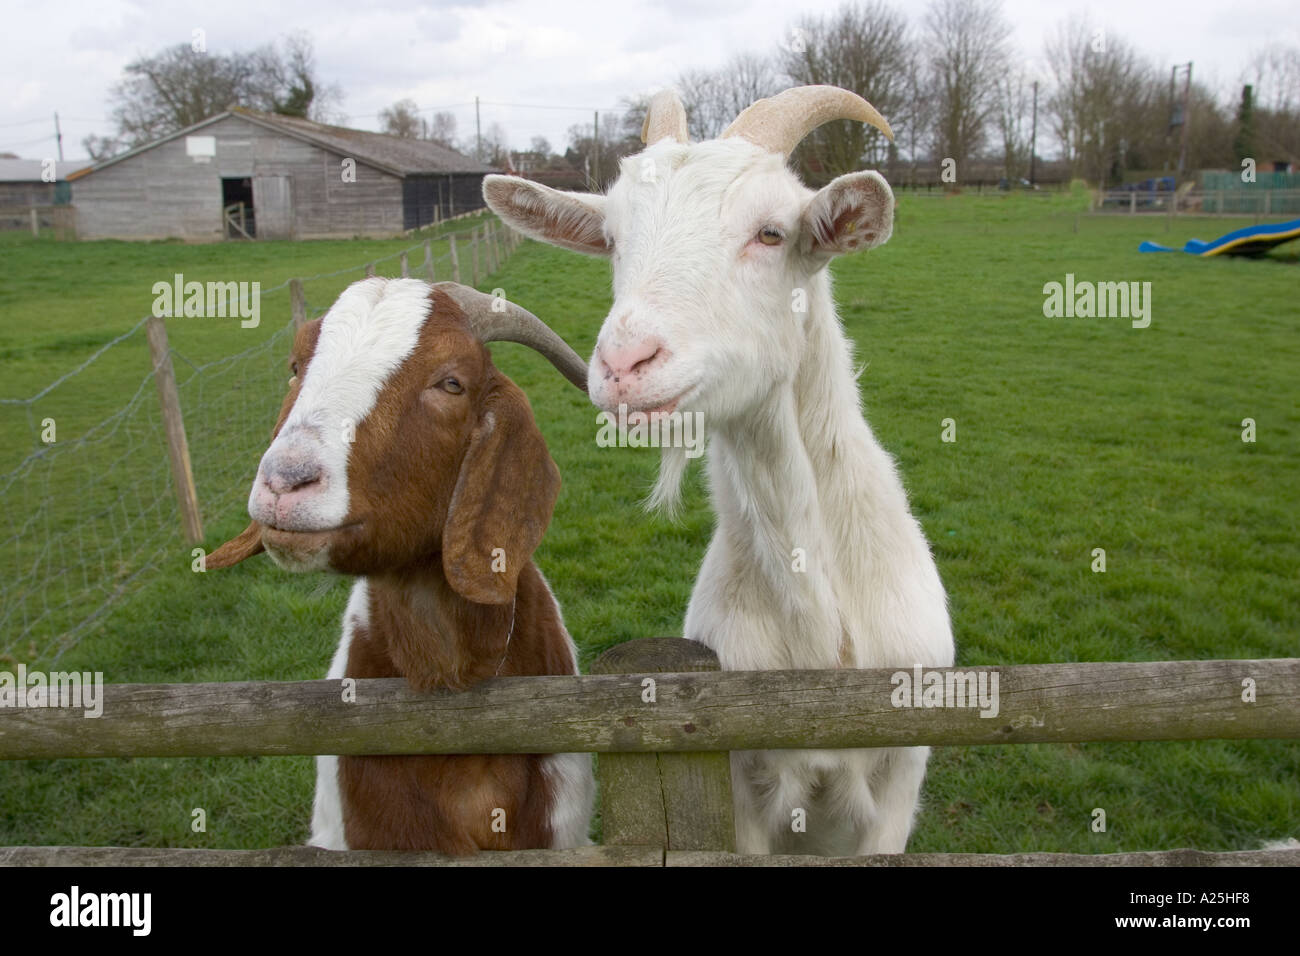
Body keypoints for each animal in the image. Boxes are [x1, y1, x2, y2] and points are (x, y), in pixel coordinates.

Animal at [484, 86, 954, 856]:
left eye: (771, 233)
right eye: (612, 238)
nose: (624, 364)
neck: (822, 643)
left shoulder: (902, 777)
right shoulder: (735, 780)